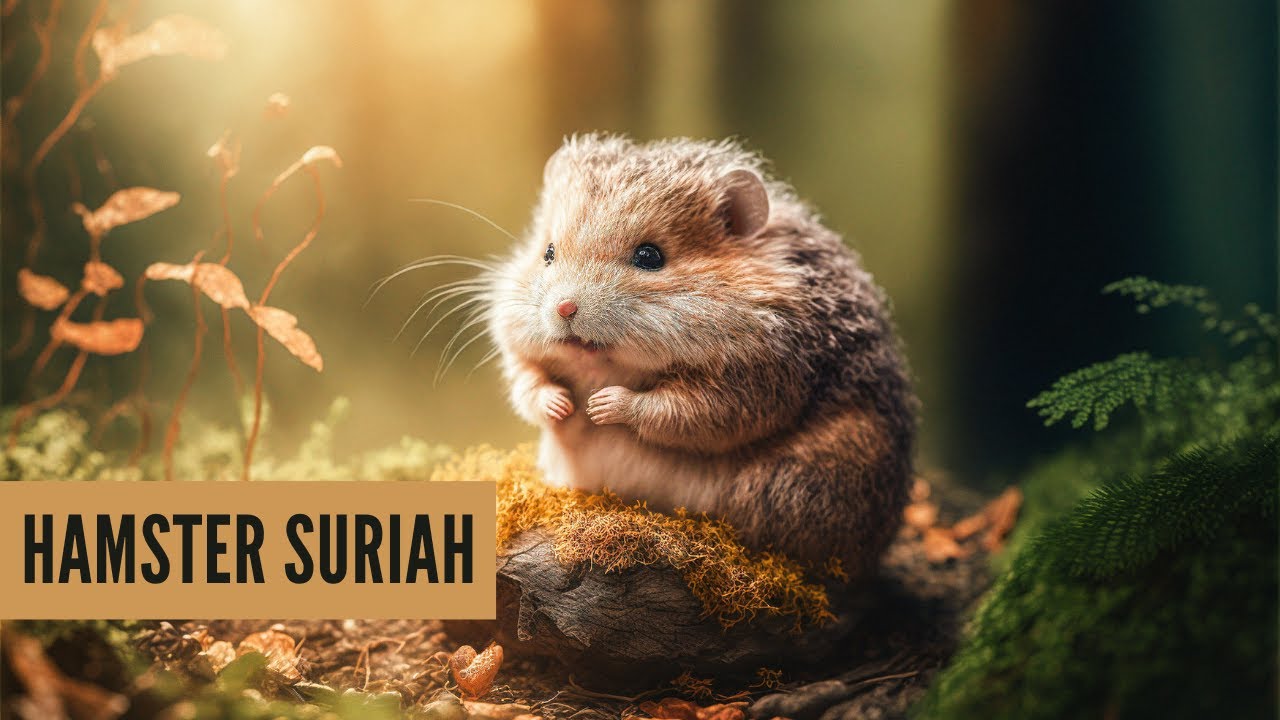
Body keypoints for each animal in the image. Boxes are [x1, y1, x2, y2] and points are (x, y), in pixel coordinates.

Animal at [485, 134, 917, 579]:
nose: (564, 308)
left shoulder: (752, 385)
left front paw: (602, 406)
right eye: (548, 252)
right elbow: (528, 383)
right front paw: (562, 406)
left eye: (650, 256)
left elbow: (678, 411)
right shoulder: (517, 345)